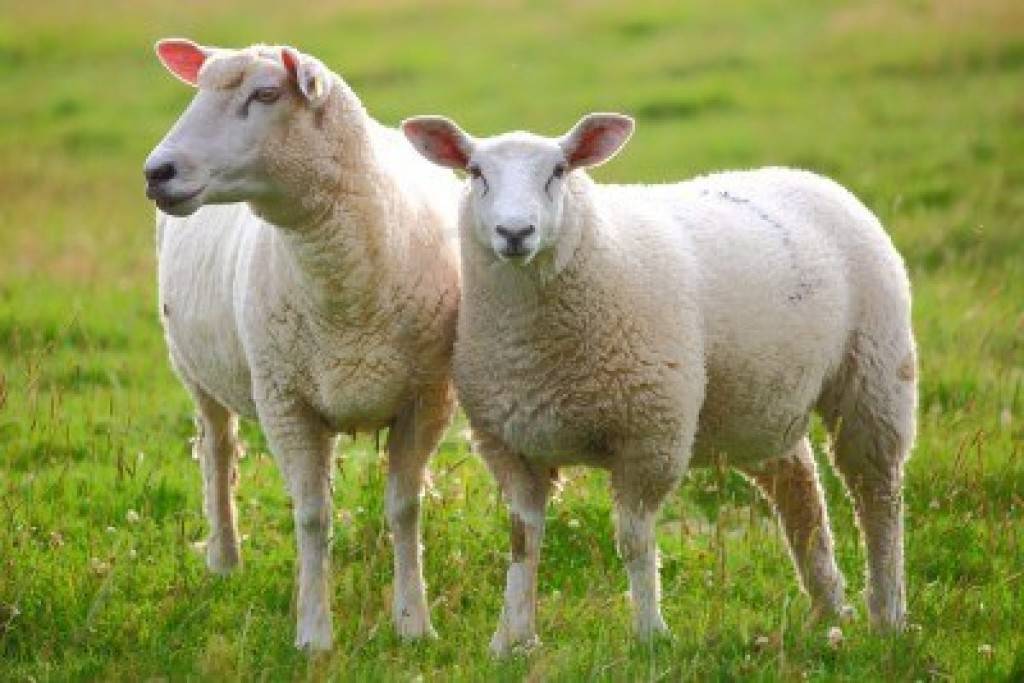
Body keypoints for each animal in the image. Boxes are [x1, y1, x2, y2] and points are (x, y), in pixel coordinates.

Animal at [144, 39, 461, 650]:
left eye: (266, 93)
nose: (156, 172)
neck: (344, 290)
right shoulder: (285, 402)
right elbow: (313, 516)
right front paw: (314, 633)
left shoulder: (426, 398)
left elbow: (404, 508)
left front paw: (413, 622)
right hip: (196, 371)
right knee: (217, 453)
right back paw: (224, 560)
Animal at [402, 112, 917, 654]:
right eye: (475, 172)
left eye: (559, 170)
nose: (515, 232)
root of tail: (811, 177)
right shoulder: (509, 445)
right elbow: (523, 543)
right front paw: (511, 639)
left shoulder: (649, 436)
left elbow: (635, 542)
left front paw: (649, 633)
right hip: (759, 399)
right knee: (798, 487)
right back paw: (828, 607)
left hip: (875, 372)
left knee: (878, 494)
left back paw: (888, 613)